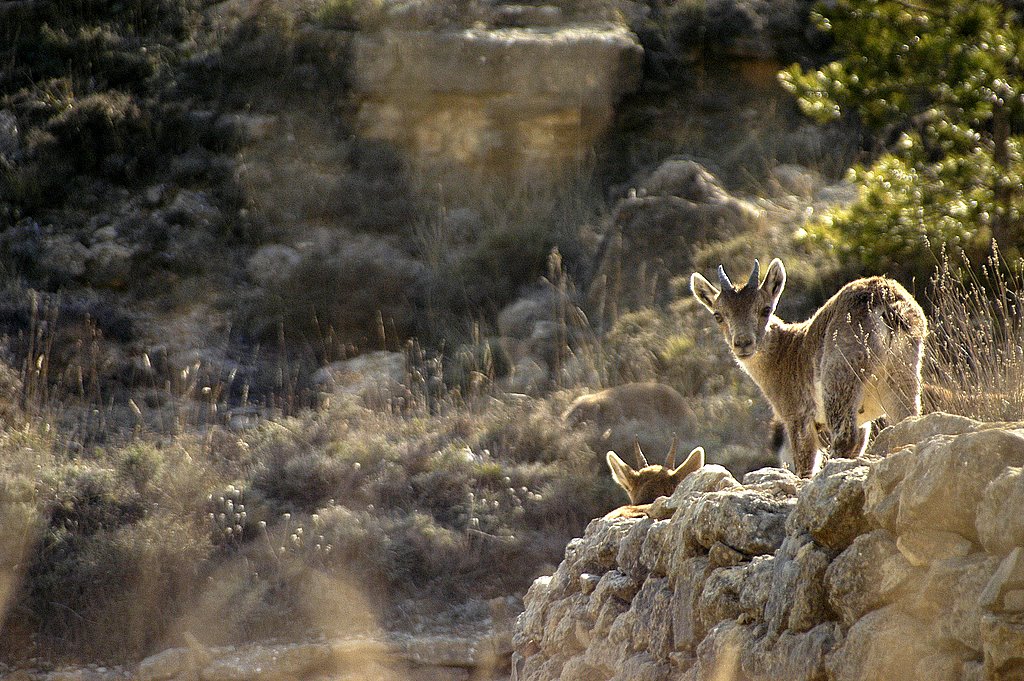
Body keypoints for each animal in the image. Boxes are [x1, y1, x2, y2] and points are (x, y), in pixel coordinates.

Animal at [691, 258, 927, 477]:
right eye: (718, 315)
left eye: (766, 309)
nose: (743, 343)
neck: (785, 353)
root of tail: (883, 299)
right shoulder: (863, 422)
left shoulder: (797, 416)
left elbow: (805, 464)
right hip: (902, 372)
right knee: (908, 421)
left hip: (840, 375)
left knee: (844, 437)